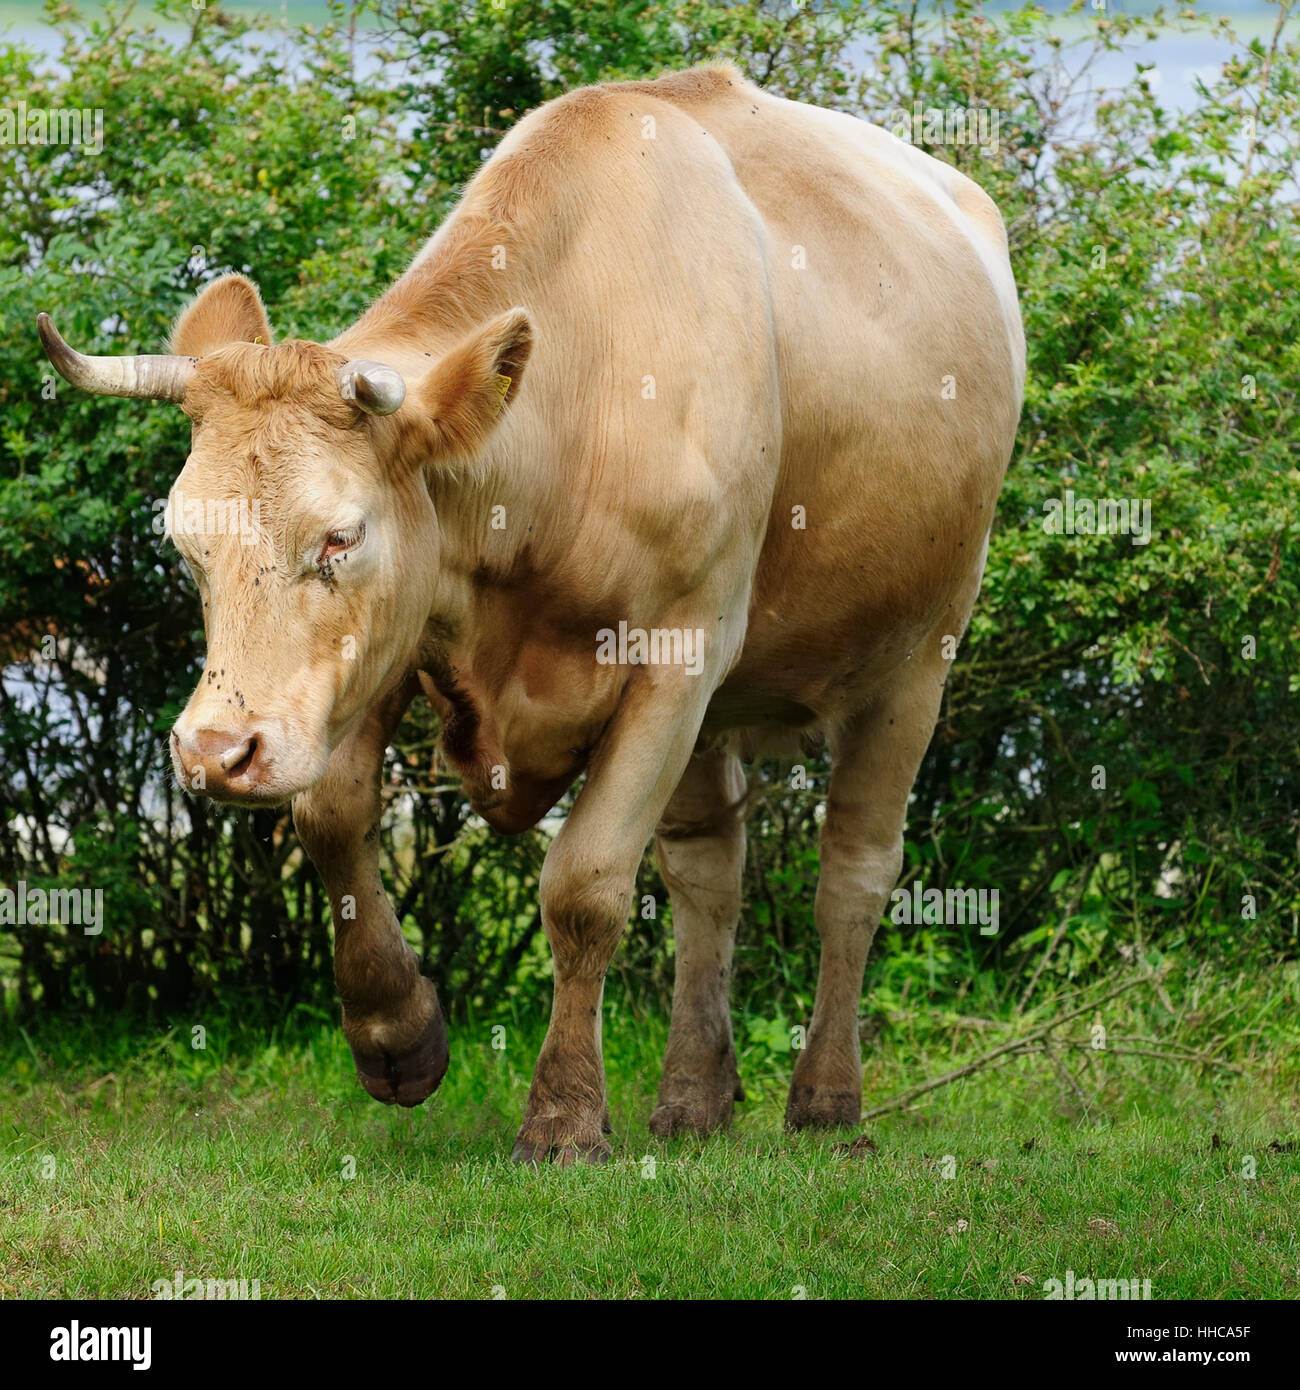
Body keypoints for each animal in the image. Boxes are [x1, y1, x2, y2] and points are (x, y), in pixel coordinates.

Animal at [38, 64, 1025, 1163]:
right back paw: (693, 1093)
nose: (215, 752)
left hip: (918, 655)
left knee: (851, 872)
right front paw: (398, 1034)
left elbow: (585, 884)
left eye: (340, 537)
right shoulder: (401, 631)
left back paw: (824, 1098)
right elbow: (331, 815)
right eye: (183, 540)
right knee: (708, 874)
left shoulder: (680, 655)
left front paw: (563, 1117)